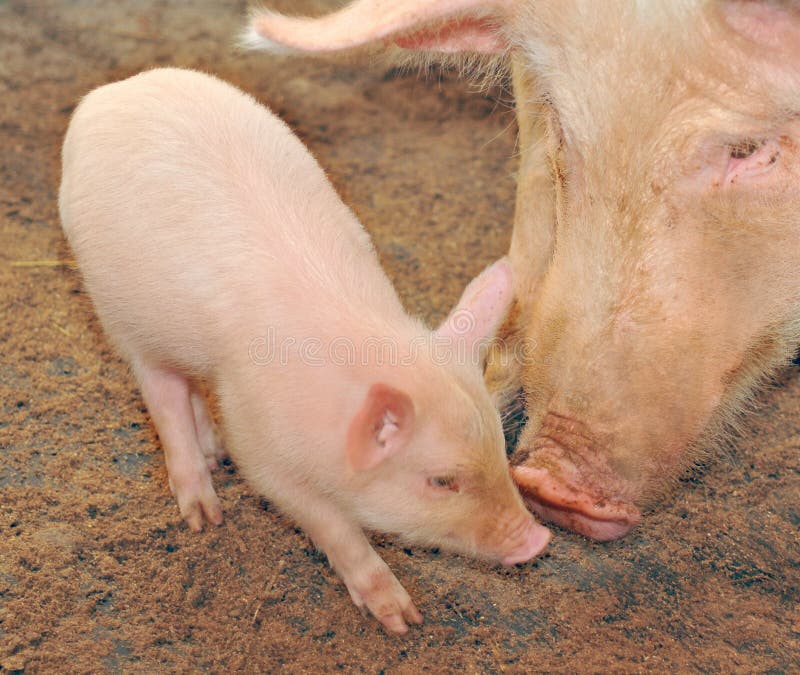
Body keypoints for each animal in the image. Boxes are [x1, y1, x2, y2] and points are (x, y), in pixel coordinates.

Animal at [58, 67, 551, 633]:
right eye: (441, 481)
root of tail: (113, 90)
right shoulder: (261, 445)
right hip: (118, 308)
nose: (539, 539)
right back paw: (203, 513)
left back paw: (212, 451)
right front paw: (402, 620)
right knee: (162, 392)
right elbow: (329, 524)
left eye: (498, 447)